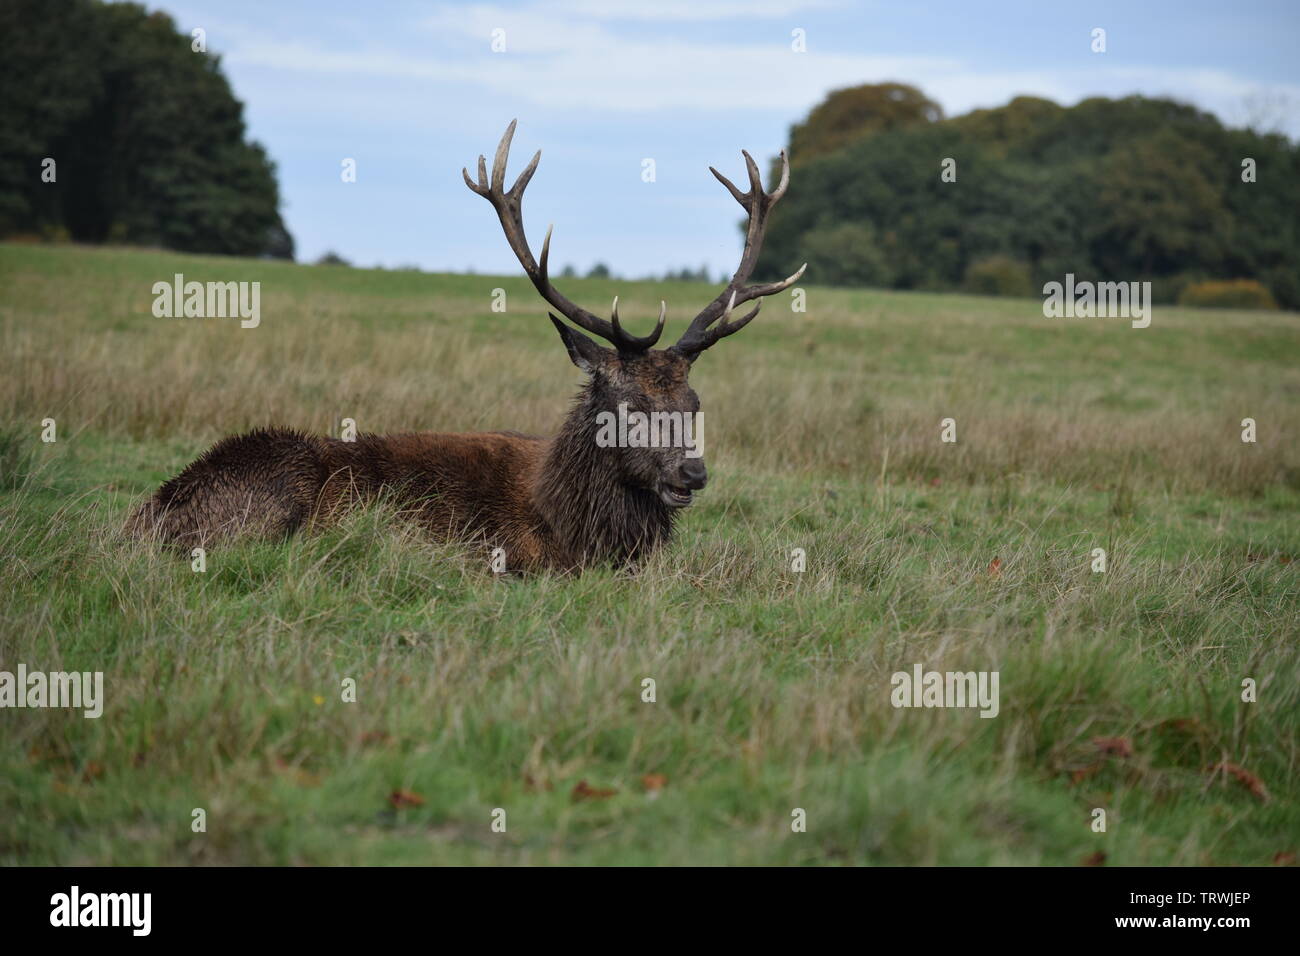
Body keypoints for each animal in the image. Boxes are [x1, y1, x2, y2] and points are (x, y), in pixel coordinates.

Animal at [127, 121, 806, 572]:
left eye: (694, 404)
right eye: (630, 406)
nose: (693, 472)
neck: (571, 522)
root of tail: (143, 516)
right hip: (275, 484)